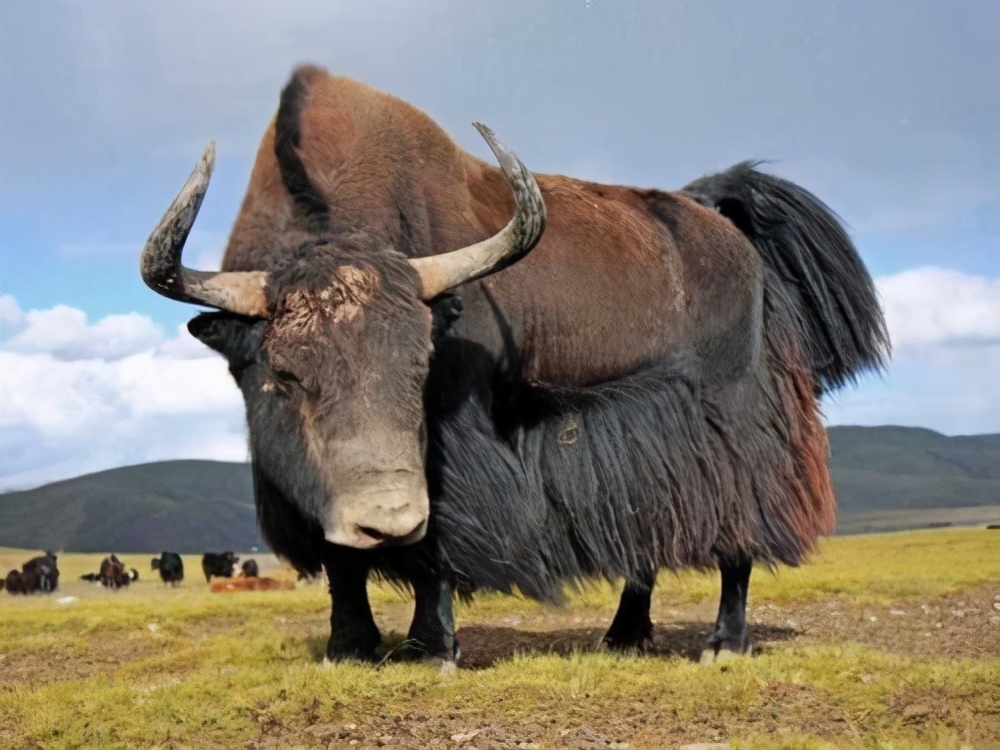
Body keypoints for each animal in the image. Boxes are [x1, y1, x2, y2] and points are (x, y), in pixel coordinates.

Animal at [140, 66, 889, 665]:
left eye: (420, 370)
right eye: (285, 377)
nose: (389, 520)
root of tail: (725, 224)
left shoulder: (454, 444)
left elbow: (440, 540)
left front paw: (432, 647)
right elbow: (340, 558)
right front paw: (351, 646)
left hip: (734, 420)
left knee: (738, 525)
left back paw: (723, 644)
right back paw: (622, 635)